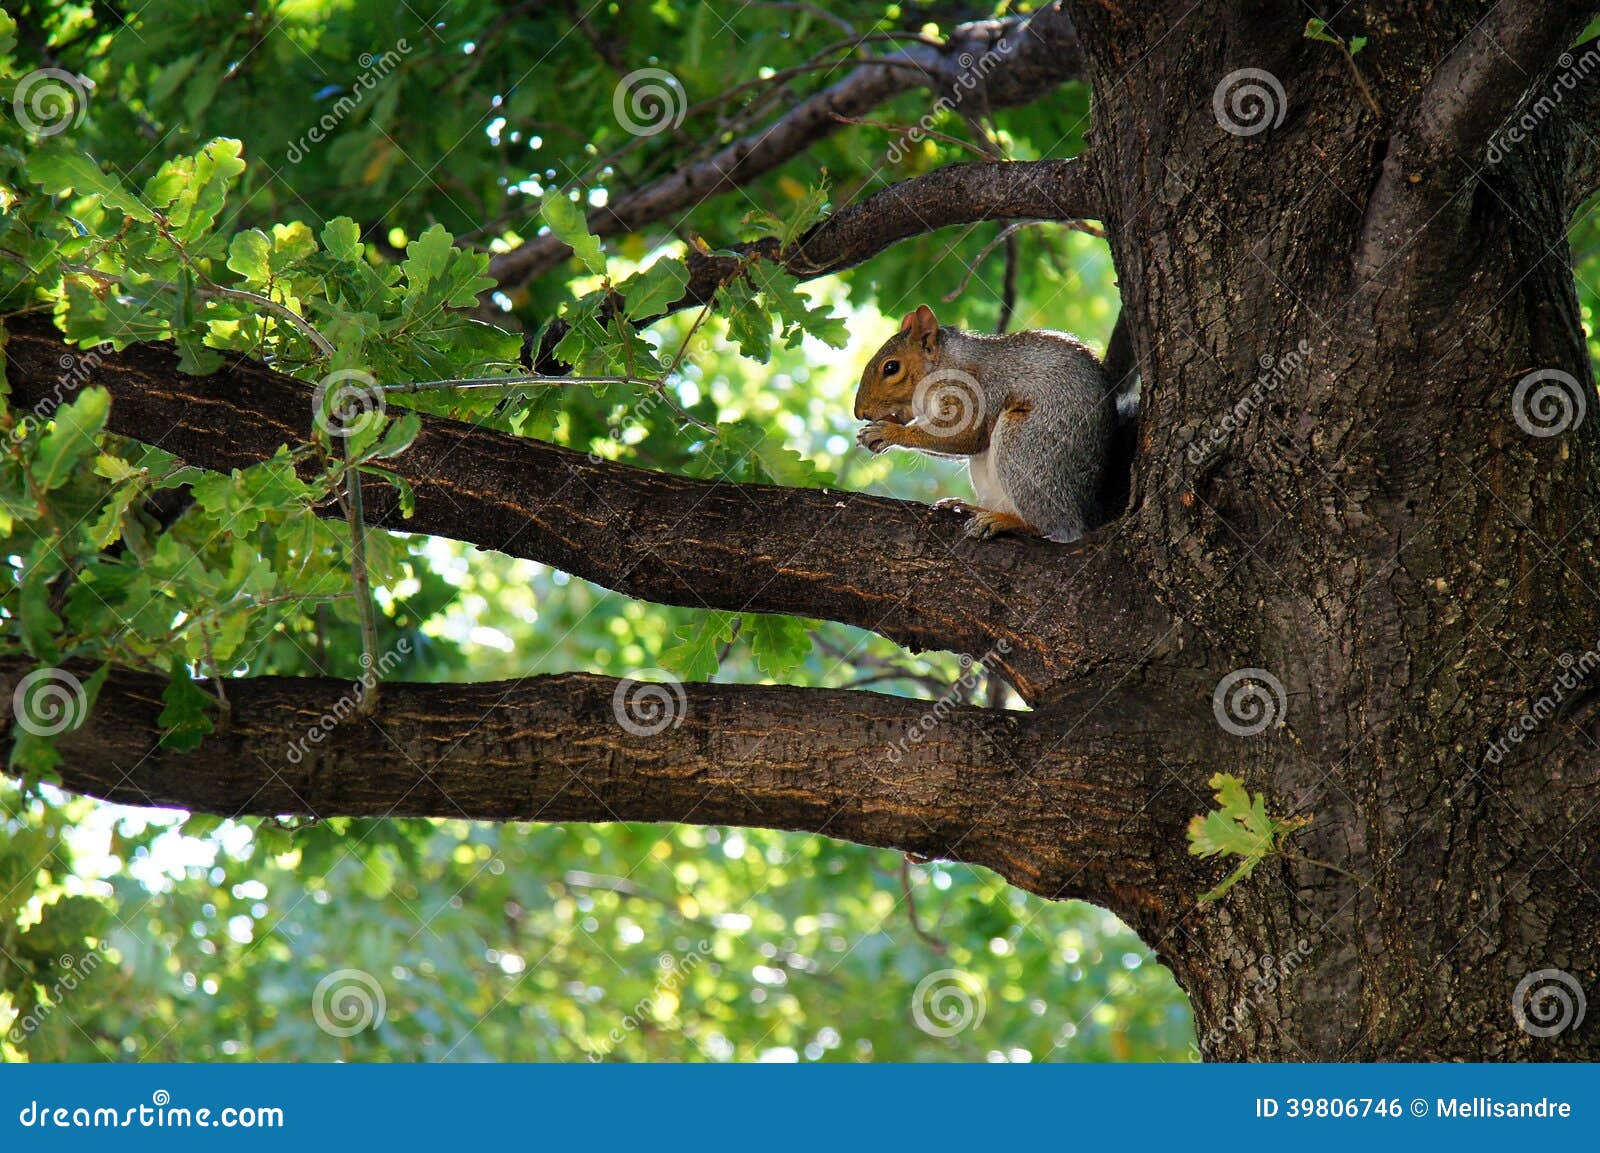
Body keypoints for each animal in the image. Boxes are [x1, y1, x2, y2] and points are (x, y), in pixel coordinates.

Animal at [854, 304, 1136, 542]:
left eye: (891, 367)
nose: (860, 412)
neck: (946, 364)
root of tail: (1088, 508)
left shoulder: (978, 391)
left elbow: (966, 437)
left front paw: (889, 433)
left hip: (1026, 444)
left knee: (1058, 526)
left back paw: (1008, 522)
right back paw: (971, 507)